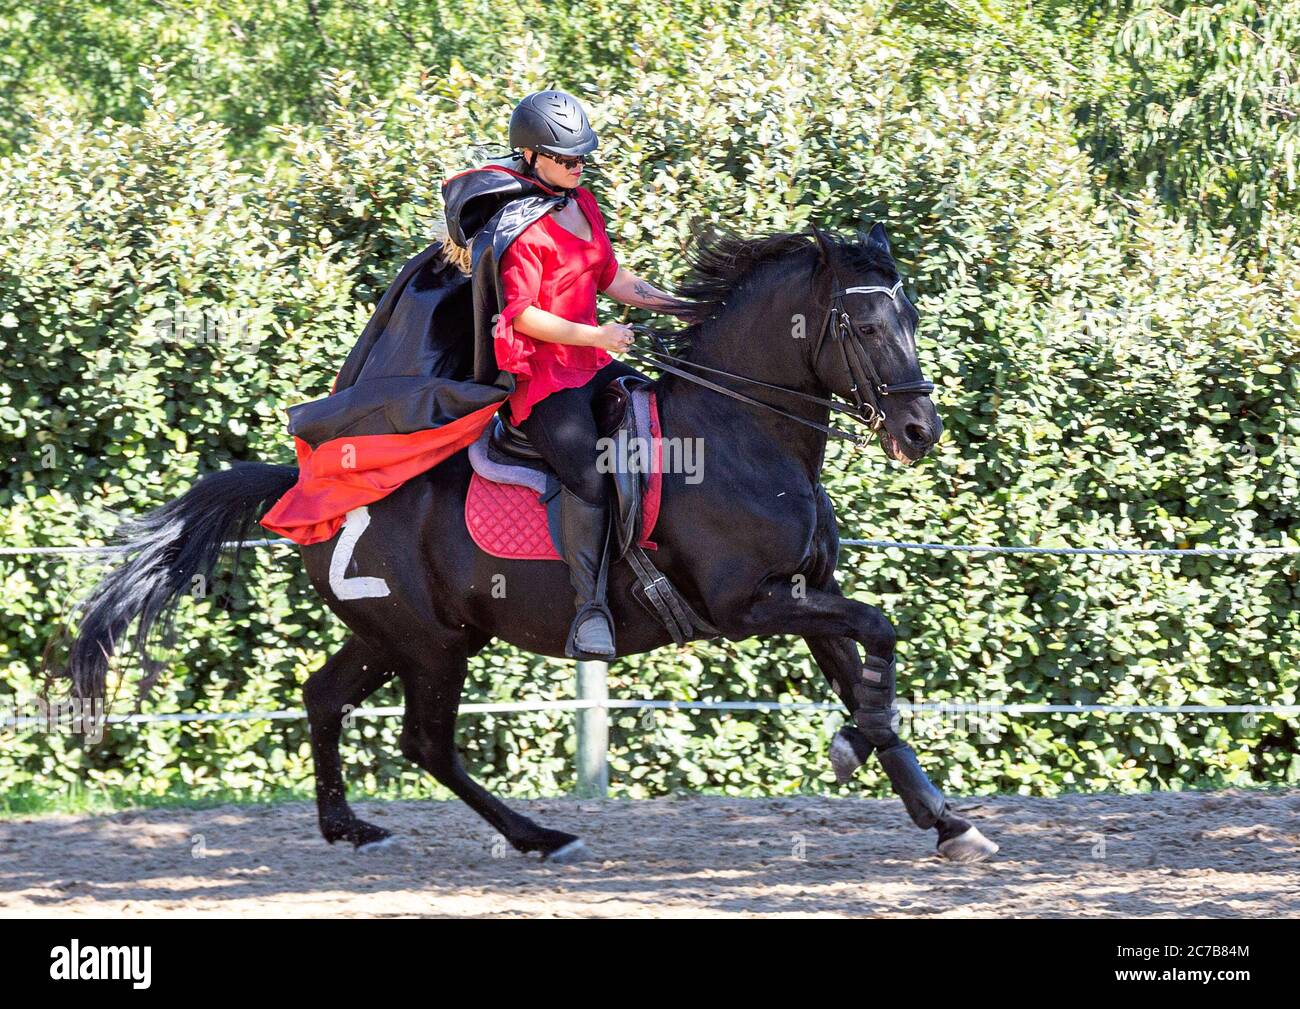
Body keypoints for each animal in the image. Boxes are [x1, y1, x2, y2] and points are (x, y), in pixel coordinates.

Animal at [59, 222, 998, 864]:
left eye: (910, 317)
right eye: (866, 328)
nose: (920, 430)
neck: (743, 432)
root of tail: (305, 480)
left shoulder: (805, 593)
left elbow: (871, 679)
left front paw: (943, 818)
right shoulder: (749, 605)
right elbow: (881, 630)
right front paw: (858, 751)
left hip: (395, 634)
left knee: (325, 697)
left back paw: (350, 826)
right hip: (430, 642)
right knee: (425, 742)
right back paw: (539, 835)